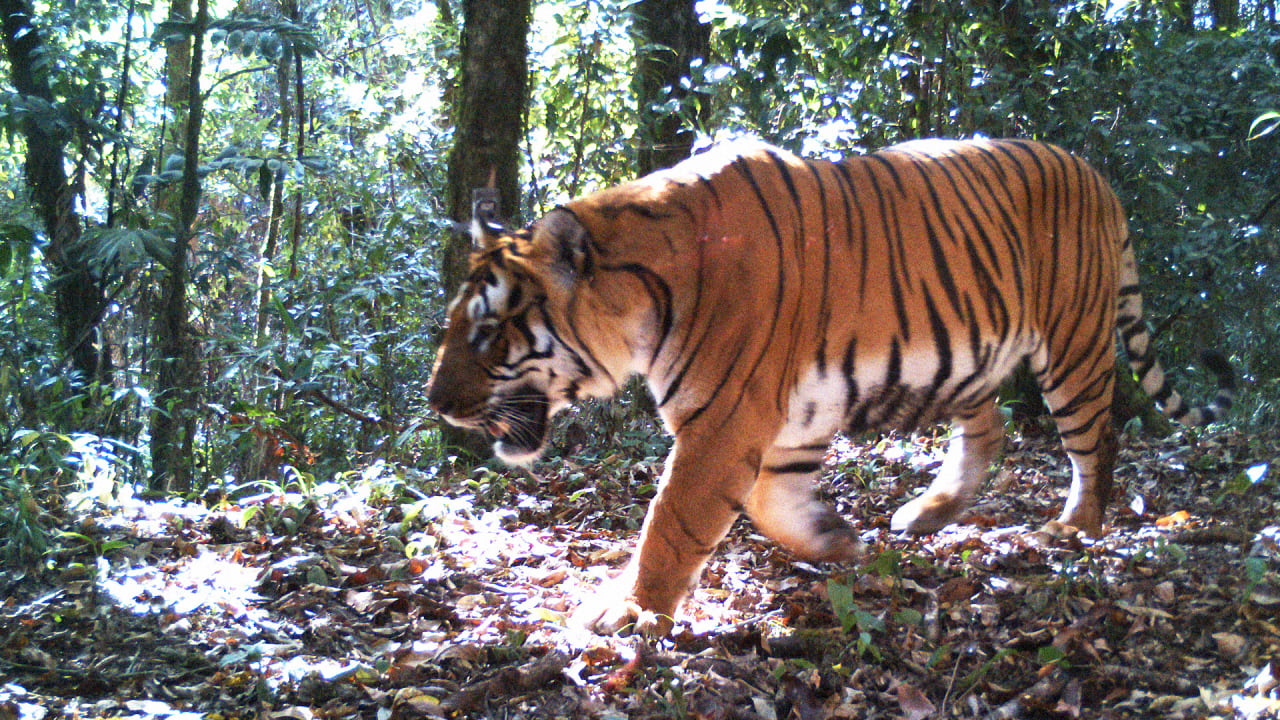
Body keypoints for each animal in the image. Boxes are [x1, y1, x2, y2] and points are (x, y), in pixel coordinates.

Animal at [425, 138, 1235, 636]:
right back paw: (926, 512)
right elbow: (769, 501)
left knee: (1097, 438)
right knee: (992, 428)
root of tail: (1096, 174)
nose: (435, 404)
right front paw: (835, 539)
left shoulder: (724, 420)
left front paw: (628, 614)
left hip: (1071, 346)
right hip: (971, 356)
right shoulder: (785, 418)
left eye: (487, 330)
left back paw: (1073, 528)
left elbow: (671, 522)